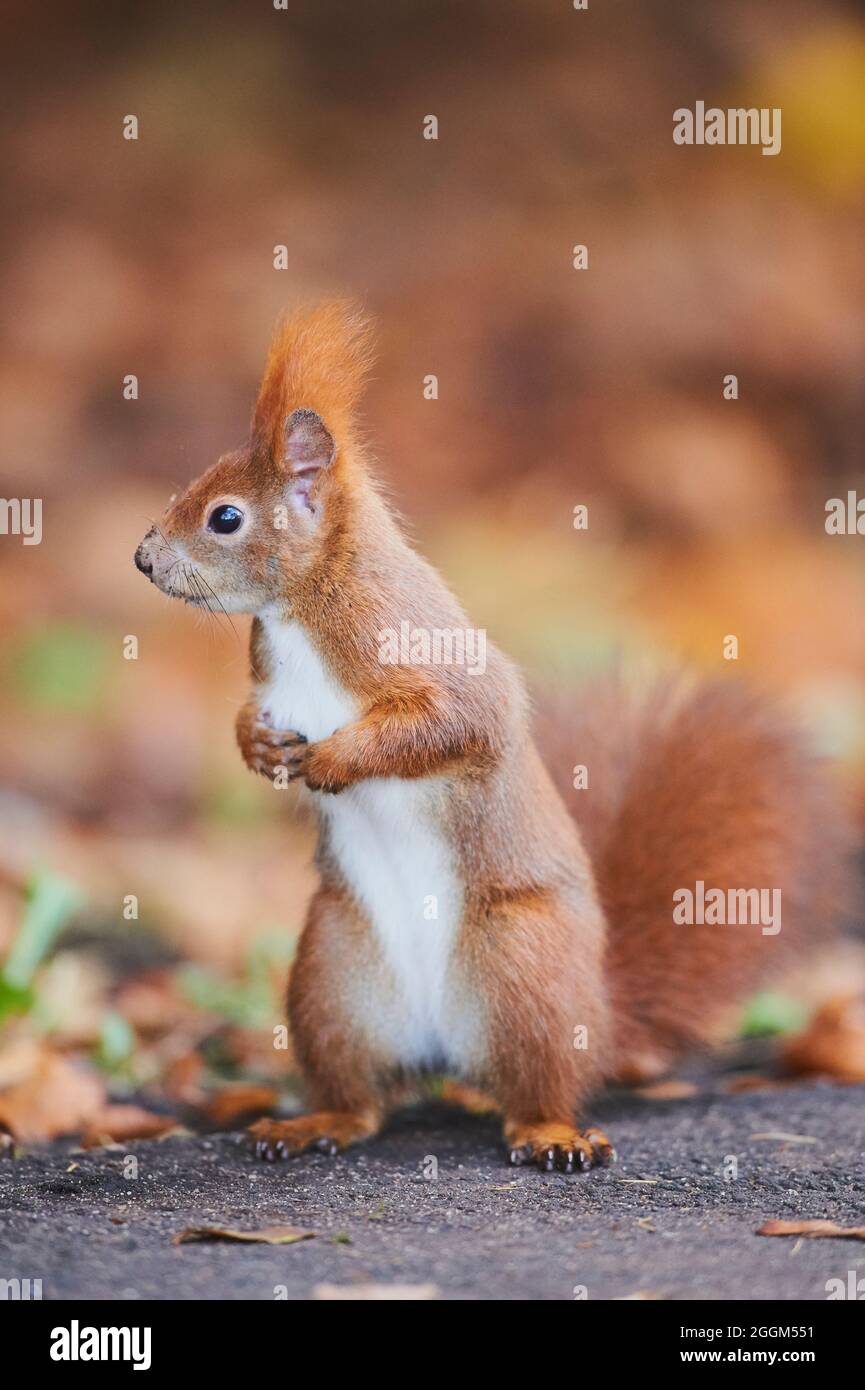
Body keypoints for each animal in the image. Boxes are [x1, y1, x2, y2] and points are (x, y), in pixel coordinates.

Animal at [135, 301, 851, 1173]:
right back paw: (314, 1123)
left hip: (521, 968)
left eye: (225, 517)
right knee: (360, 1096)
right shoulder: (272, 682)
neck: (302, 606)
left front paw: (337, 758)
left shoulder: (431, 660)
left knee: (536, 1086)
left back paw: (551, 1135)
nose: (141, 558)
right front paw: (261, 751)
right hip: (333, 978)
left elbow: (453, 724)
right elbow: (253, 717)